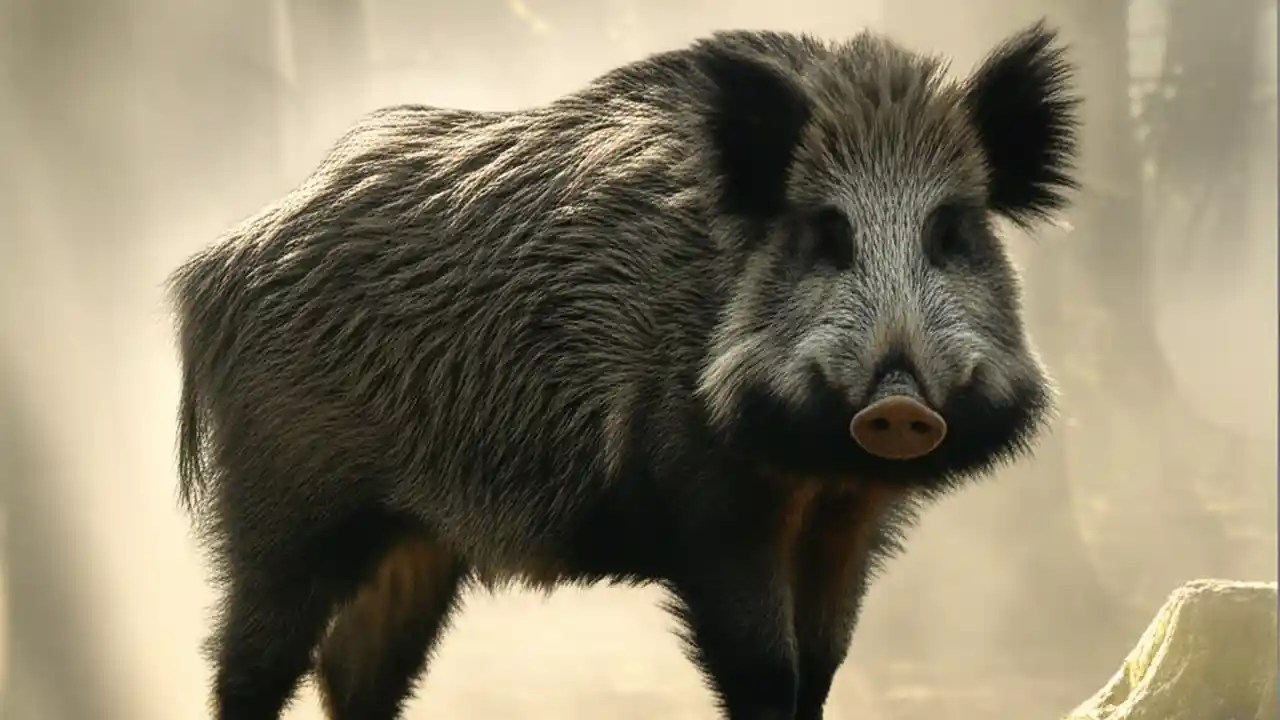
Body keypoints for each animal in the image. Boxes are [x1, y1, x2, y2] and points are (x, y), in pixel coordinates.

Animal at [168, 20, 1078, 720]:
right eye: (825, 232)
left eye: (950, 231)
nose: (899, 406)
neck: (817, 469)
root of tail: (217, 267)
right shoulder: (707, 502)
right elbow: (765, 673)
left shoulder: (855, 520)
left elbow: (821, 673)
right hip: (285, 499)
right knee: (248, 665)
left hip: (412, 538)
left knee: (356, 675)